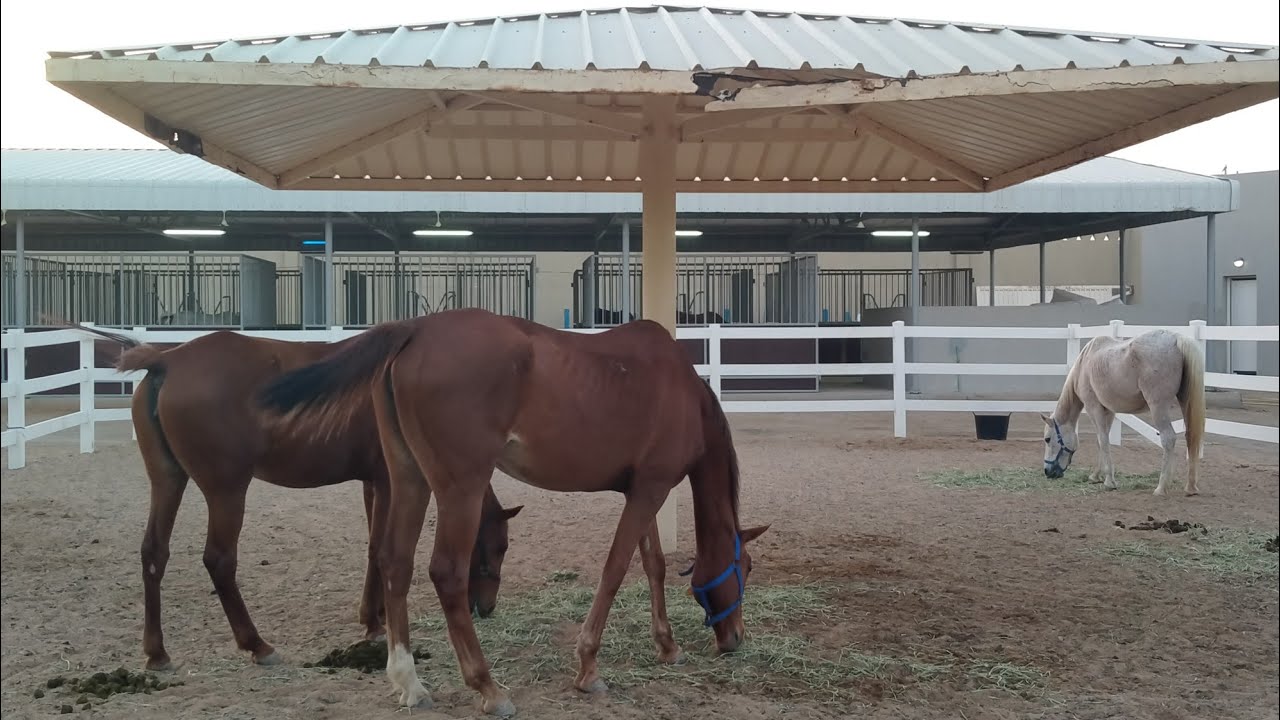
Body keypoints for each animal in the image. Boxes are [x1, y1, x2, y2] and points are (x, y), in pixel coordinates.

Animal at [73, 326, 524, 671]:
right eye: (498, 547)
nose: (485, 607)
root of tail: (169, 360)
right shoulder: (387, 482)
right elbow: (378, 548)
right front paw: (375, 622)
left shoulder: (371, 482)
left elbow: (373, 548)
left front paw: (373, 617)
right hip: (226, 490)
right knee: (219, 560)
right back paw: (256, 644)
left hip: (168, 480)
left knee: (154, 553)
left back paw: (157, 652)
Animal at [256, 308, 769, 717]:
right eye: (744, 567)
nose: (736, 638)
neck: (682, 391)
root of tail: (414, 331)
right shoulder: (650, 491)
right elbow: (616, 569)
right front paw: (588, 666)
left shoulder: (643, 489)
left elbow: (653, 565)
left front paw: (667, 645)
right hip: (460, 488)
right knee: (446, 573)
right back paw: (488, 687)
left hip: (408, 479)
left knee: (394, 563)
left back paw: (409, 682)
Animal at [1042, 328, 1206, 496]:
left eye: (1047, 439)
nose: (1047, 472)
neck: (1083, 366)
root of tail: (1176, 338)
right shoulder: (1108, 411)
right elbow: (1102, 440)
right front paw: (1096, 476)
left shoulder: (1093, 407)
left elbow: (1102, 440)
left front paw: (1109, 482)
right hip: (1185, 402)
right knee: (1191, 437)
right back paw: (1191, 487)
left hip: (1158, 407)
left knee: (1168, 438)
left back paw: (1161, 488)